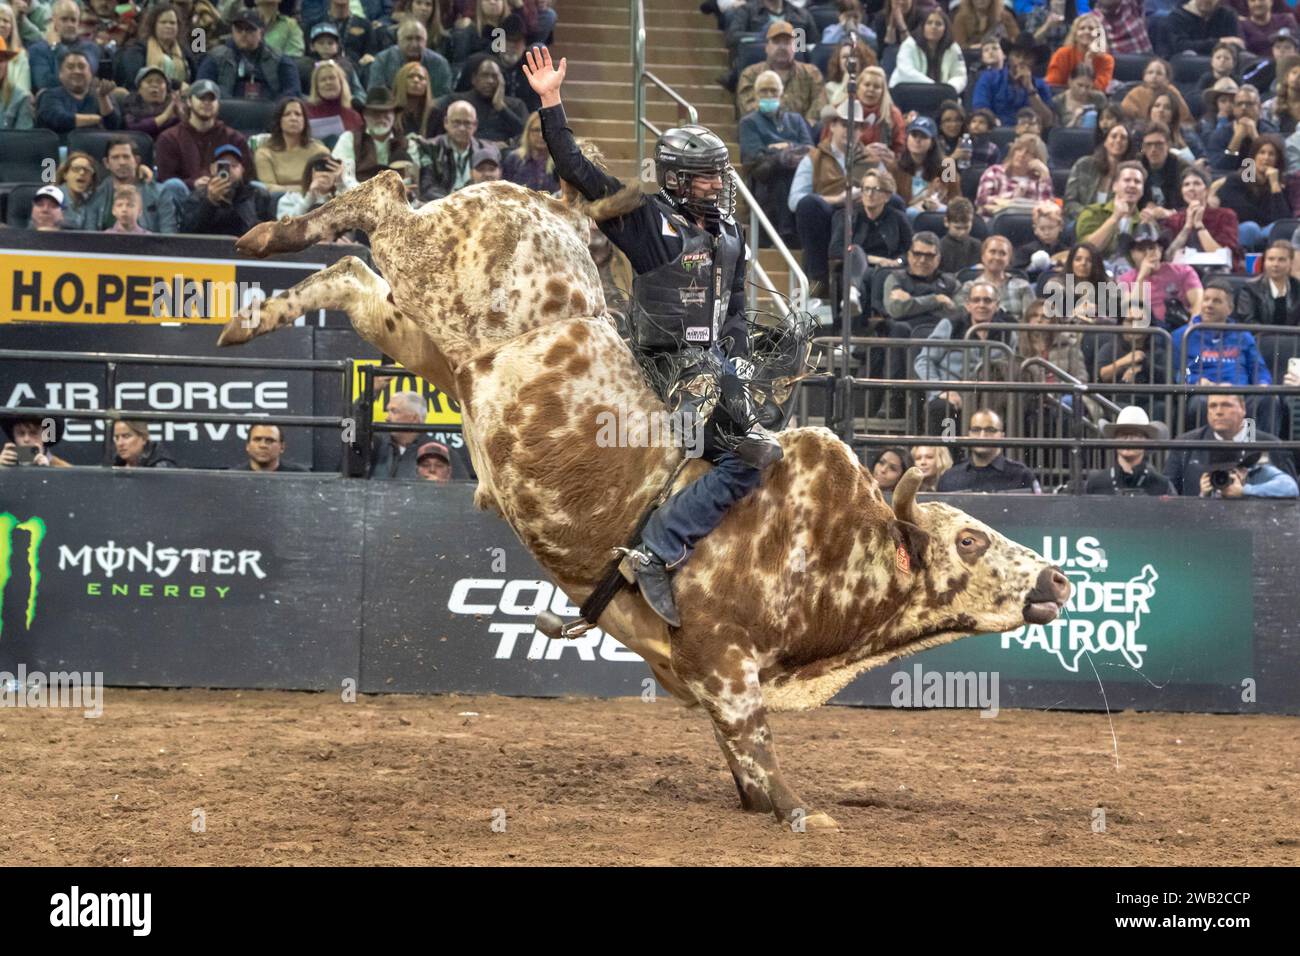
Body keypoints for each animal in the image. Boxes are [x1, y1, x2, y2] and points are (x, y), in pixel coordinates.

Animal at [218, 172, 1071, 829]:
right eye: (969, 540)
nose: (1059, 577)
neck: (834, 548)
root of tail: (554, 210)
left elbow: (743, 767)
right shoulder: (726, 665)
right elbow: (760, 750)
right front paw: (807, 813)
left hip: (430, 340)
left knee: (354, 275)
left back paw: (249, 313)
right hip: (435, 271)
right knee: (384, 198)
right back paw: (266, 237)